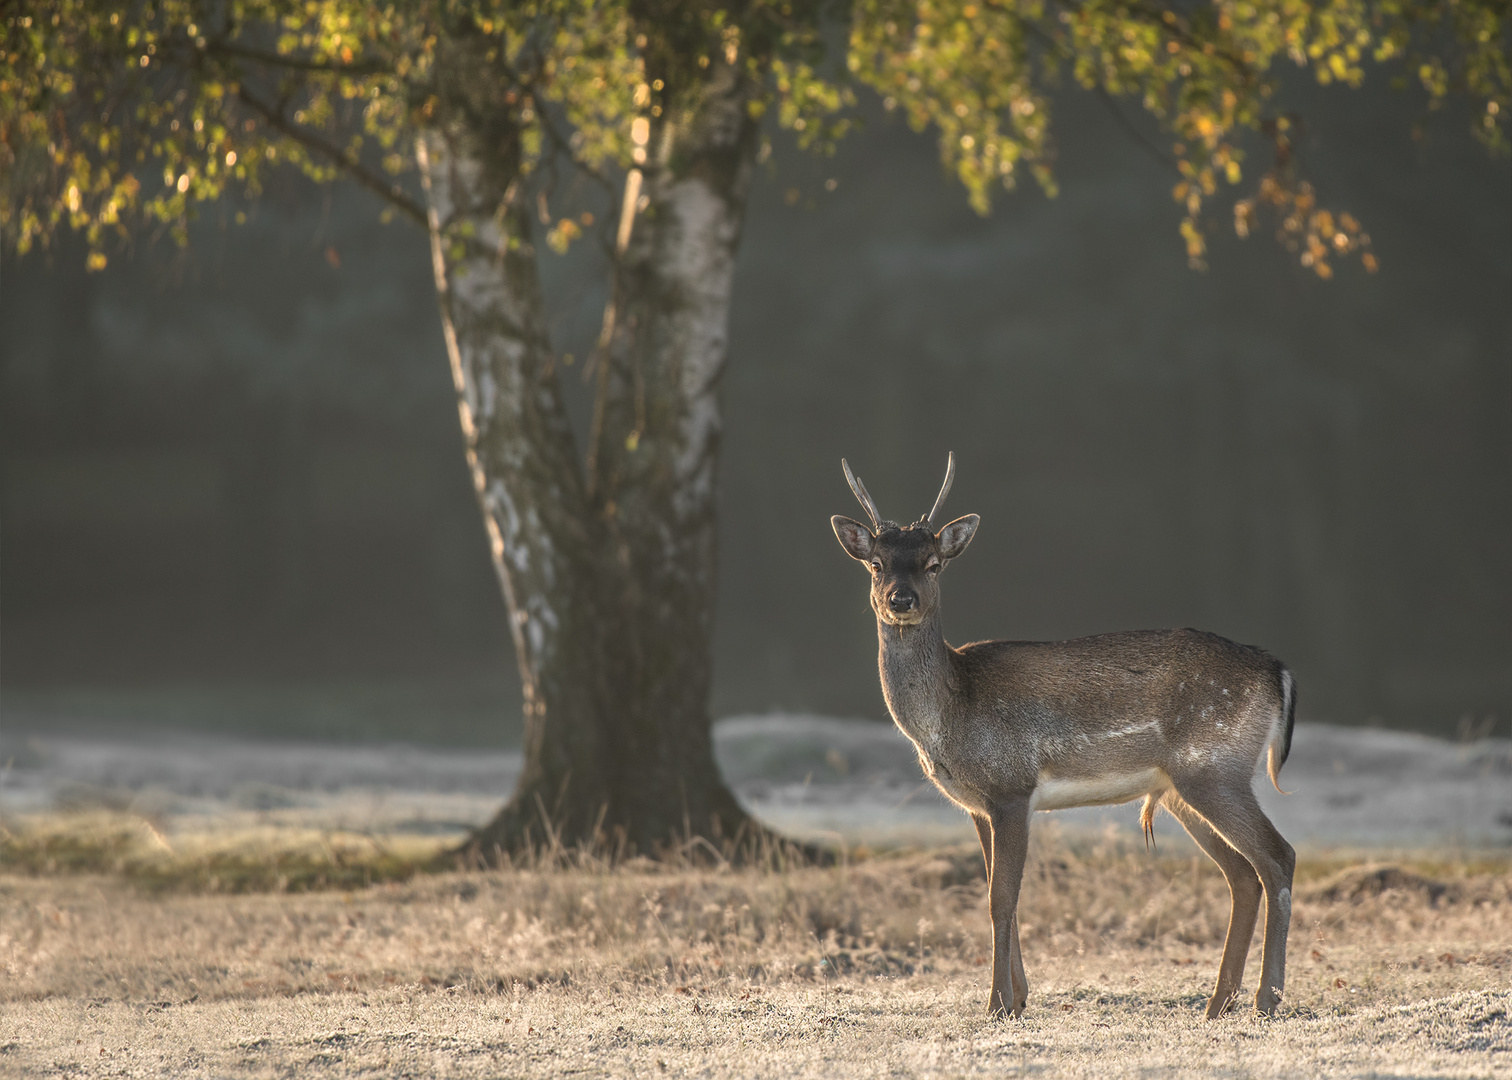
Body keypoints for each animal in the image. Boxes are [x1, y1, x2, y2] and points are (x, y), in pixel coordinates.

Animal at [834, 450, 1294, 1016]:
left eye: (934, 563)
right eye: (875, 563)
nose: (901, 600)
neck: (949, 717)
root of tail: (1278, 672)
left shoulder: (1010, 786)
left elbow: (1001, 897)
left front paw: (997, 1004)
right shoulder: (977, 805)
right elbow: (999, 893)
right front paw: (1019, 999)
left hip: (1214, 767)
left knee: (1278, 858)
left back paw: (1266, 1000)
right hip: (1186, 788)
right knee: (1242, 875)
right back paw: (1218, 1003)